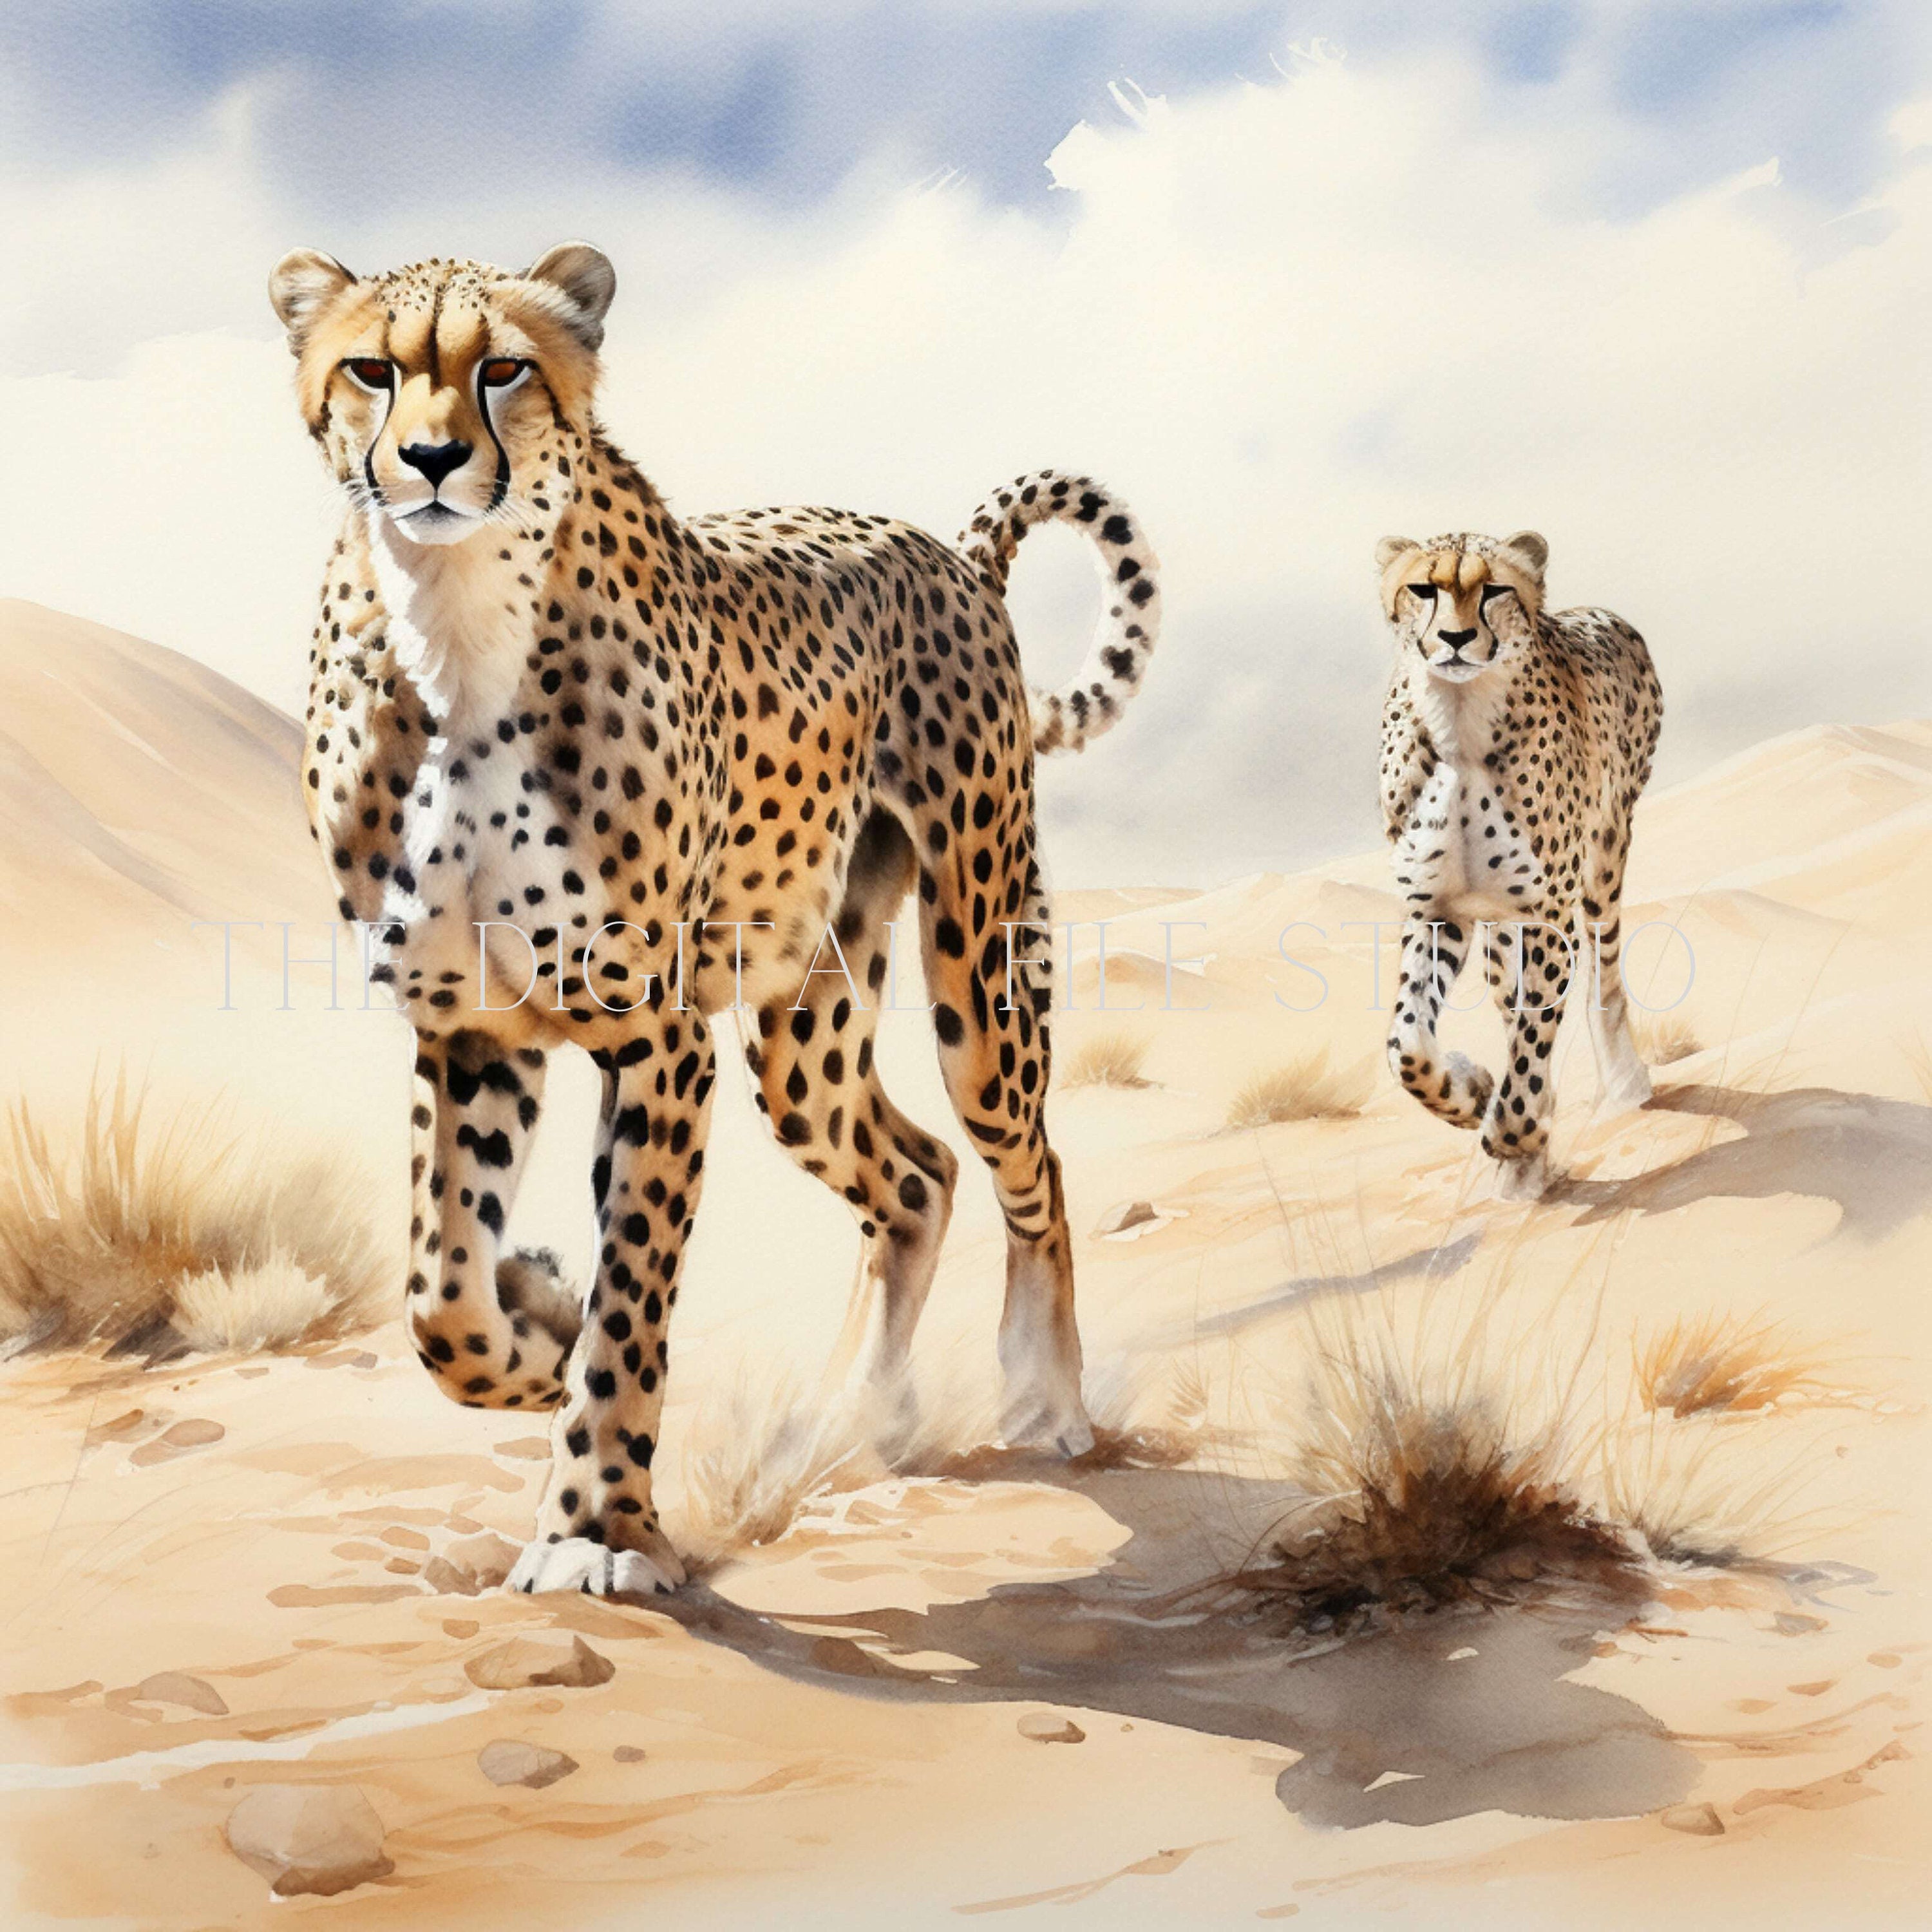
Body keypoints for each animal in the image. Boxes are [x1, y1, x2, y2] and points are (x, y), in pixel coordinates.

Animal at [267, 240, 1161, 1596]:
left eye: (504, 369)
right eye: (371, 368)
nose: (427, 460)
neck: (457, 620)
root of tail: (940, 548)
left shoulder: (655, 1039)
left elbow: (632, 1303)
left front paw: (595, 1529)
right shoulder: (471, 1025)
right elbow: (440, 1293)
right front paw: (534, 1319)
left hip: (978, 963)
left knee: (1031, 1164)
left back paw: (1045, 1400)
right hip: (803, 1033)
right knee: (916, 1175)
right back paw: (851, 1421)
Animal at [1374, 529, 1663, 1200]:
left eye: (1495, 590)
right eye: (1421, 588)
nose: (1455, 639)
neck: (1458, 720)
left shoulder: (1546, 913)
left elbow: (1535, 1038)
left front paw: (1515, 1136)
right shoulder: (1437, 909)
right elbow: (1408, 1045)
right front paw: (1472, 1092)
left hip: (1605, 860)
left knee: (1602, 975)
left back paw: (1622, 1084)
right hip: (1501, 926)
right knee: (1508, 1000)